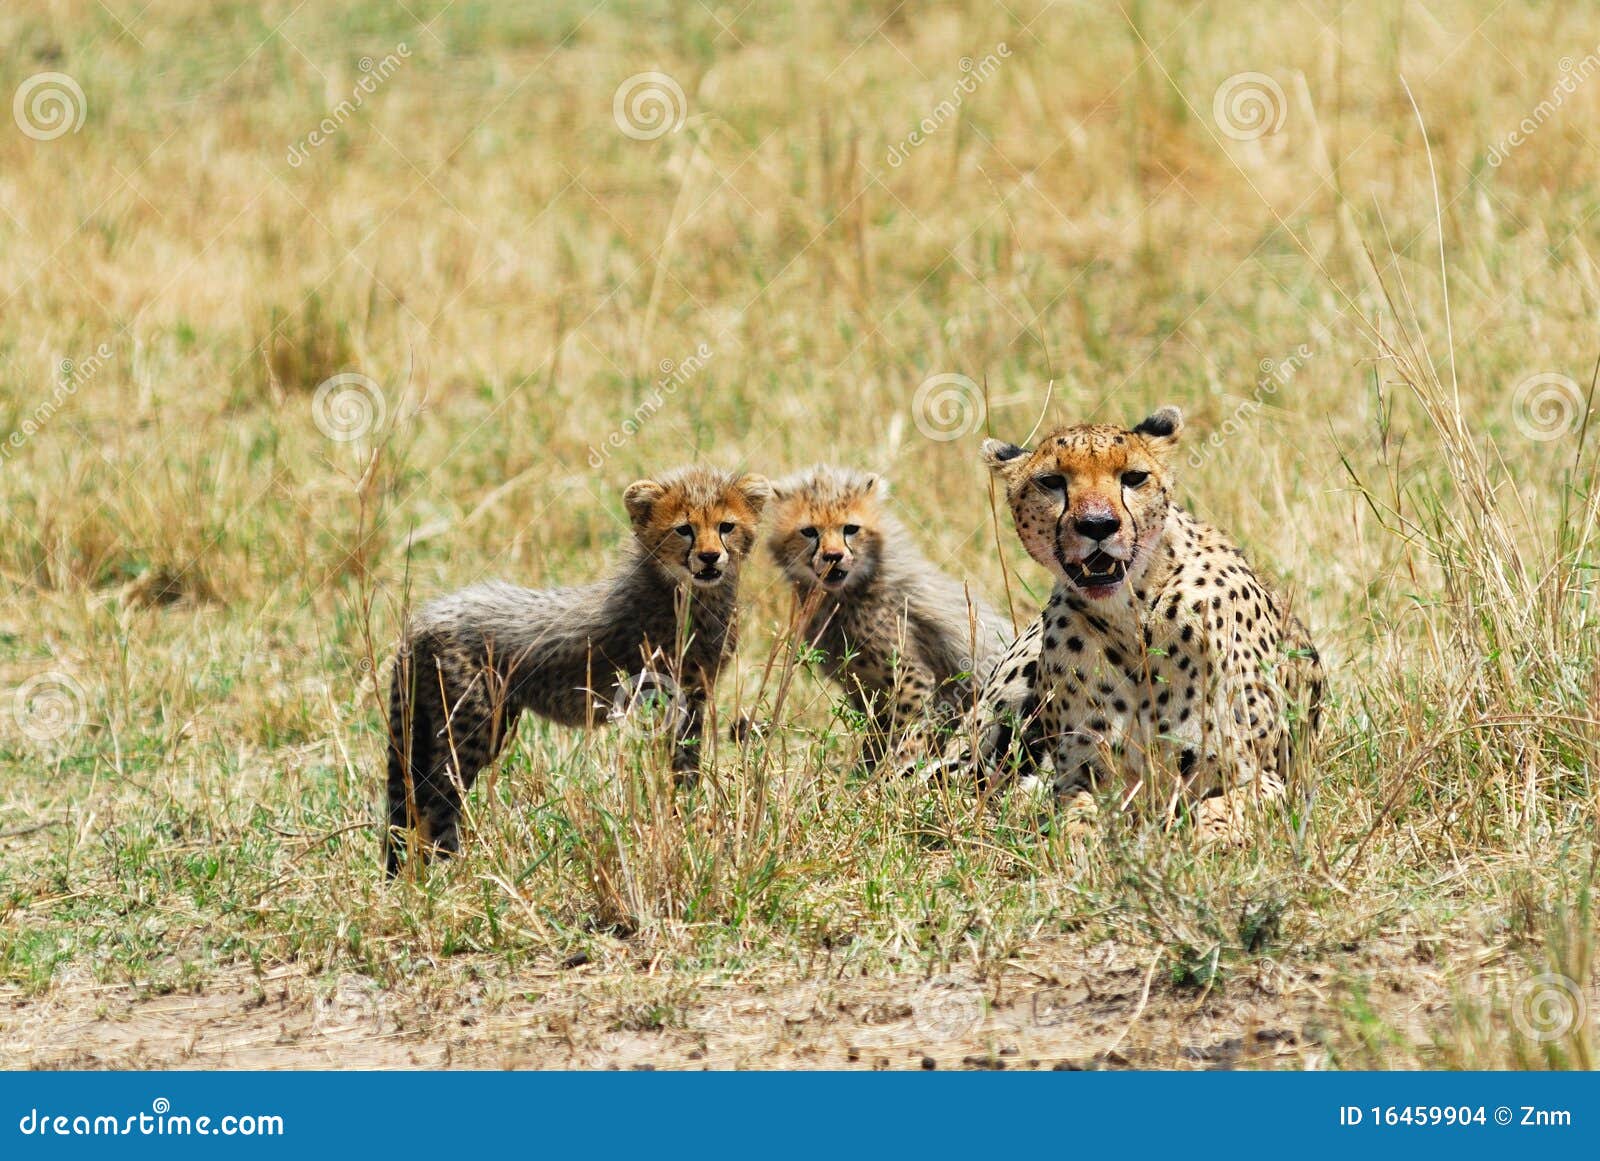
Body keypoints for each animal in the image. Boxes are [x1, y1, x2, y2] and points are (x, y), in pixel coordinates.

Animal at [383, 466, 770, 876]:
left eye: (726, 526)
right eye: (684, 529)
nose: (710, 557)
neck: (685, 590)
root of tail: (421, 621)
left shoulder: (692, 697)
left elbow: (686, 765)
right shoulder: (669, 697)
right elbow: (681, 765)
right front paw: (690, 825)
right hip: (473, 722)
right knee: (437, 797)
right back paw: (450, 869)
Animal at [765, 465, 1016, 769]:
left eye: (851, 529)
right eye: (809, 531)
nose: (833, 556)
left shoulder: (912, 676)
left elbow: (909, 728)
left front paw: (897, 770)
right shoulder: (862, 687)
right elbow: (876, 733)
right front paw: (865, 770)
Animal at [974, 405, 1324, 840]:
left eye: (1134, 477)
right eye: (1051, 481)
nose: (1097, 525)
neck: (1133, 617)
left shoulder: (1265, 776)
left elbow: (1220, 814)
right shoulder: (1083, 779)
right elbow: (1074, 821)